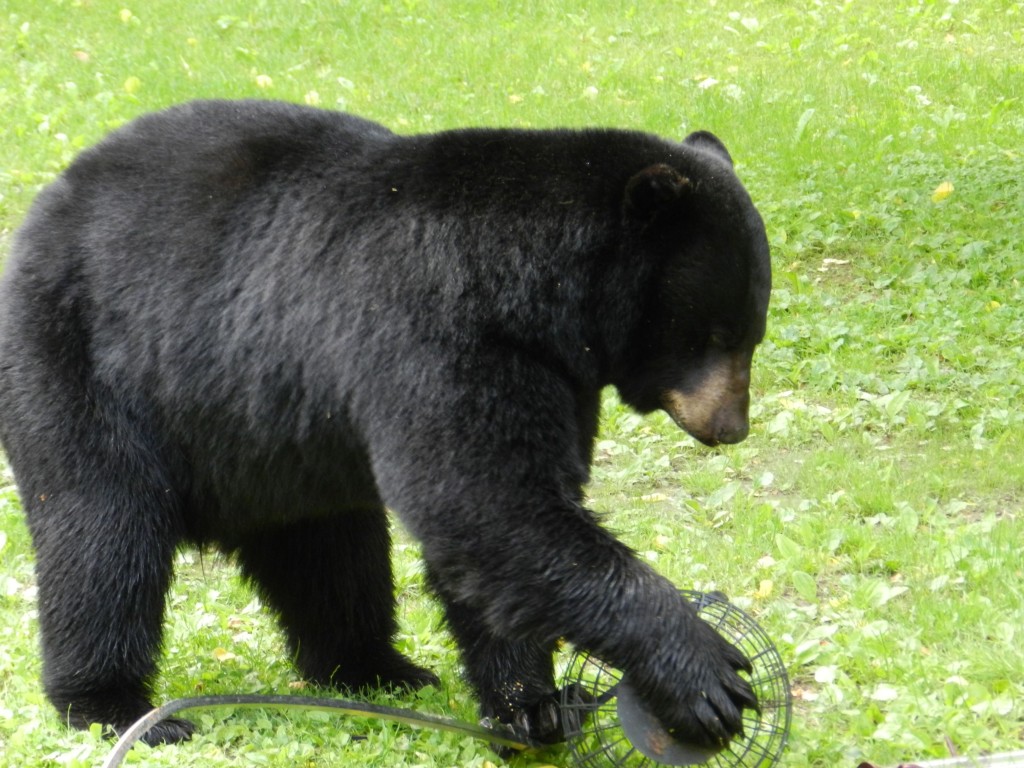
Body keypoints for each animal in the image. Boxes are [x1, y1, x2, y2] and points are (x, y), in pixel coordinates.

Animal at [0, 99, 769, 751]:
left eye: (751, 334)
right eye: (716, 333)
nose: (731, 427)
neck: (530, 292)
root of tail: (46, 204)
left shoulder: (555, 377)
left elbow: (513, 521)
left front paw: (536, 706)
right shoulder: (432, 330)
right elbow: (488, 505)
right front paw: (705, 676)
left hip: (273, 443)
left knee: (331, 557)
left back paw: (376, 667)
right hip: (77, 361)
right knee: (101, 533)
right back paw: (116, 707)